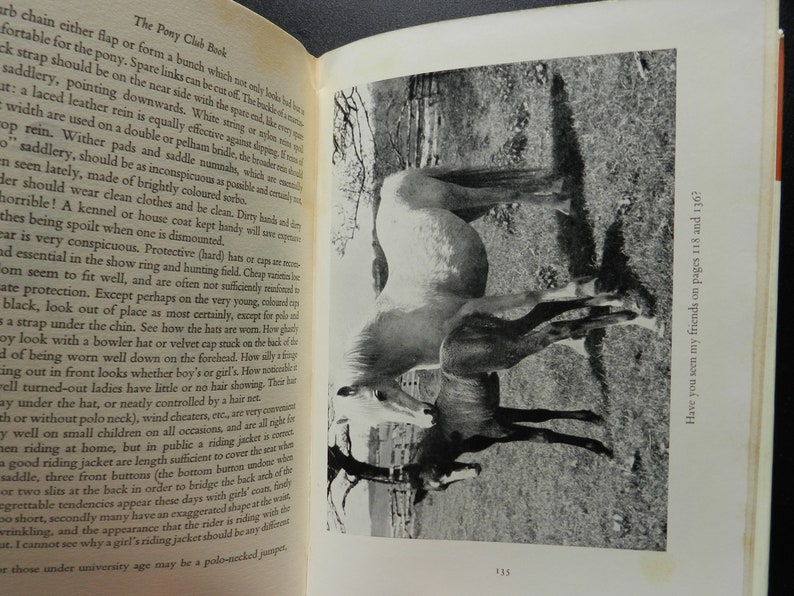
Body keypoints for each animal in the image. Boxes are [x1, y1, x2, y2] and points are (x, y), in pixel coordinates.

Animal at [333, 166, 592, 428]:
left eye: (380, 395)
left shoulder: (472, 306)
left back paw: (564, 203)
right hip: (467, 212)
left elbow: (529, 298)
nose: (429, 417)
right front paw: (579, 341)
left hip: (459, 196)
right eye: (377, 422)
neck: (404, 333)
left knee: (505, 192)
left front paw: (584, 290)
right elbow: (523, 327)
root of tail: (390, 184)